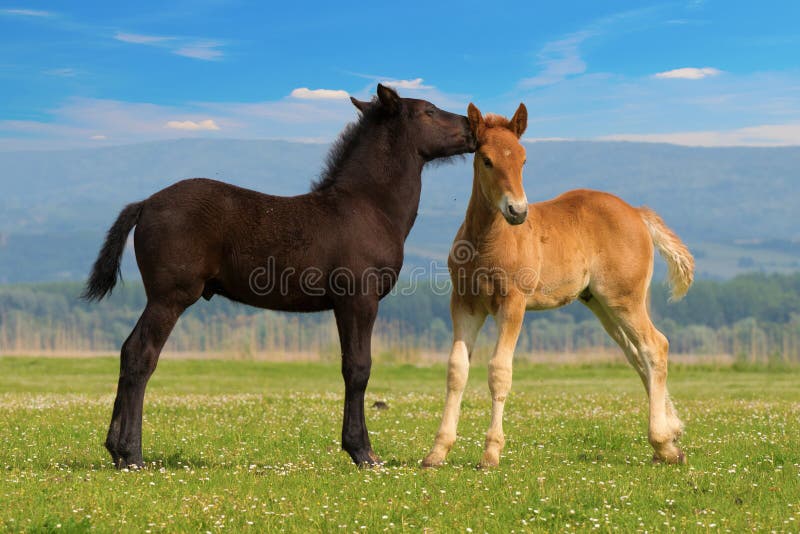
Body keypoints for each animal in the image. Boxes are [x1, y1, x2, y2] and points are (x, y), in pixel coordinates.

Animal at [83, 84, 476, 468]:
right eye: (428, 111)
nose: (473, 126)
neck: (368, 208)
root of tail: (145, 204)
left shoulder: (343, 304)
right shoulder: (358, 299)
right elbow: (358, 368)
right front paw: (363, 452)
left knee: (127, 351)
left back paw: (116, 449)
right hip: (170, 297)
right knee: (141, 354)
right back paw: (131, 454)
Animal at [422, 103, 694, 468]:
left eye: (523, 159)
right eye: (486, 160)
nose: (517, 211)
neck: (487, 240)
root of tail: (637, 213)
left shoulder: (513, 303)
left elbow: (499, 370)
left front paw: (491, 452)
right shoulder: (464, 303)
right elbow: (456, 370)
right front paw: (437, 451)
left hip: (624, 298)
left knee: (655, 346)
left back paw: (662, 441)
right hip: (601, 303)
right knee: (638, 354)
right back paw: (671, 438)